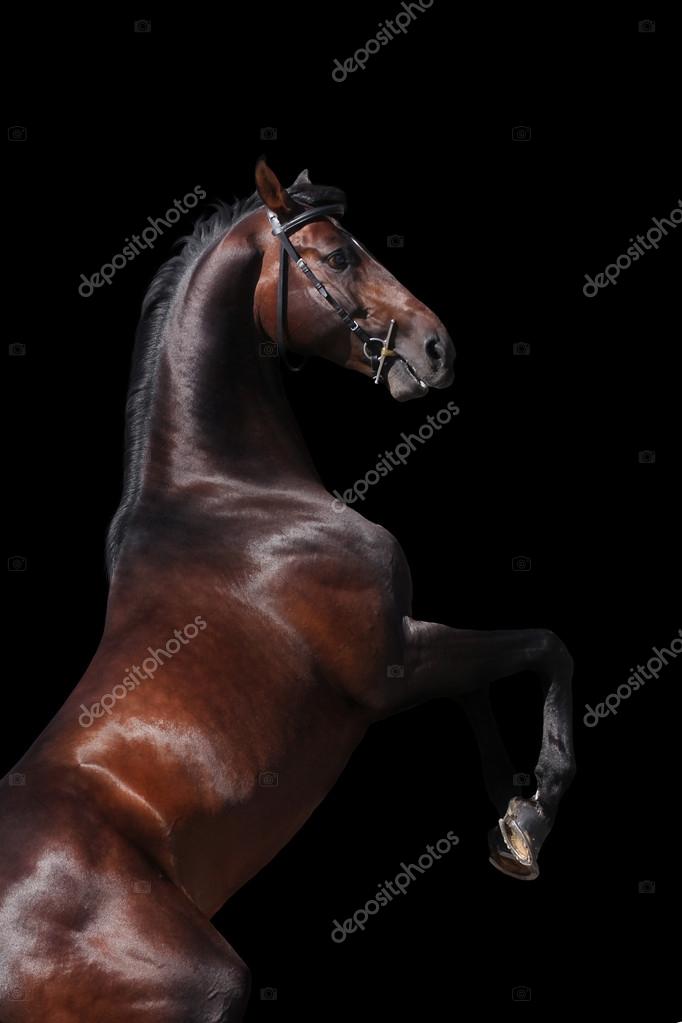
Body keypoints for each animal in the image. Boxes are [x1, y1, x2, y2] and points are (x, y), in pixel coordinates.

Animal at [0, 160, 575, 1022]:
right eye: (338, 254)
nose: (436, 346)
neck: (236, 496)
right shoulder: (394, 665)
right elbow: (545, 648)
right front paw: (537, 808)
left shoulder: (412, 647)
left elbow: (481, 693)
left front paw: (511, 822)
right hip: (200, 985)